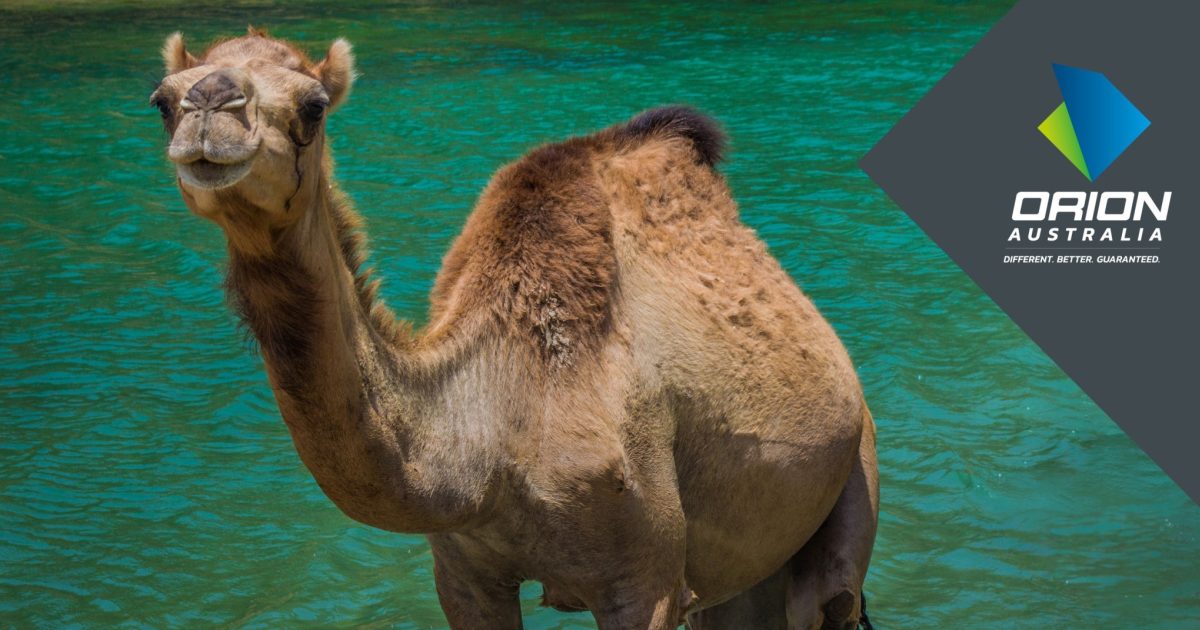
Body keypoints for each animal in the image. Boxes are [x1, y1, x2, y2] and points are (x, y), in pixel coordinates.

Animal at [150, 29, 879, 630]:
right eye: (162, 99)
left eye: (314, 106)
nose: (211, 104)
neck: (491, 440)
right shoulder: (464, 572)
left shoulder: (645, 579)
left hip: (854, 470)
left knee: (833, 594)